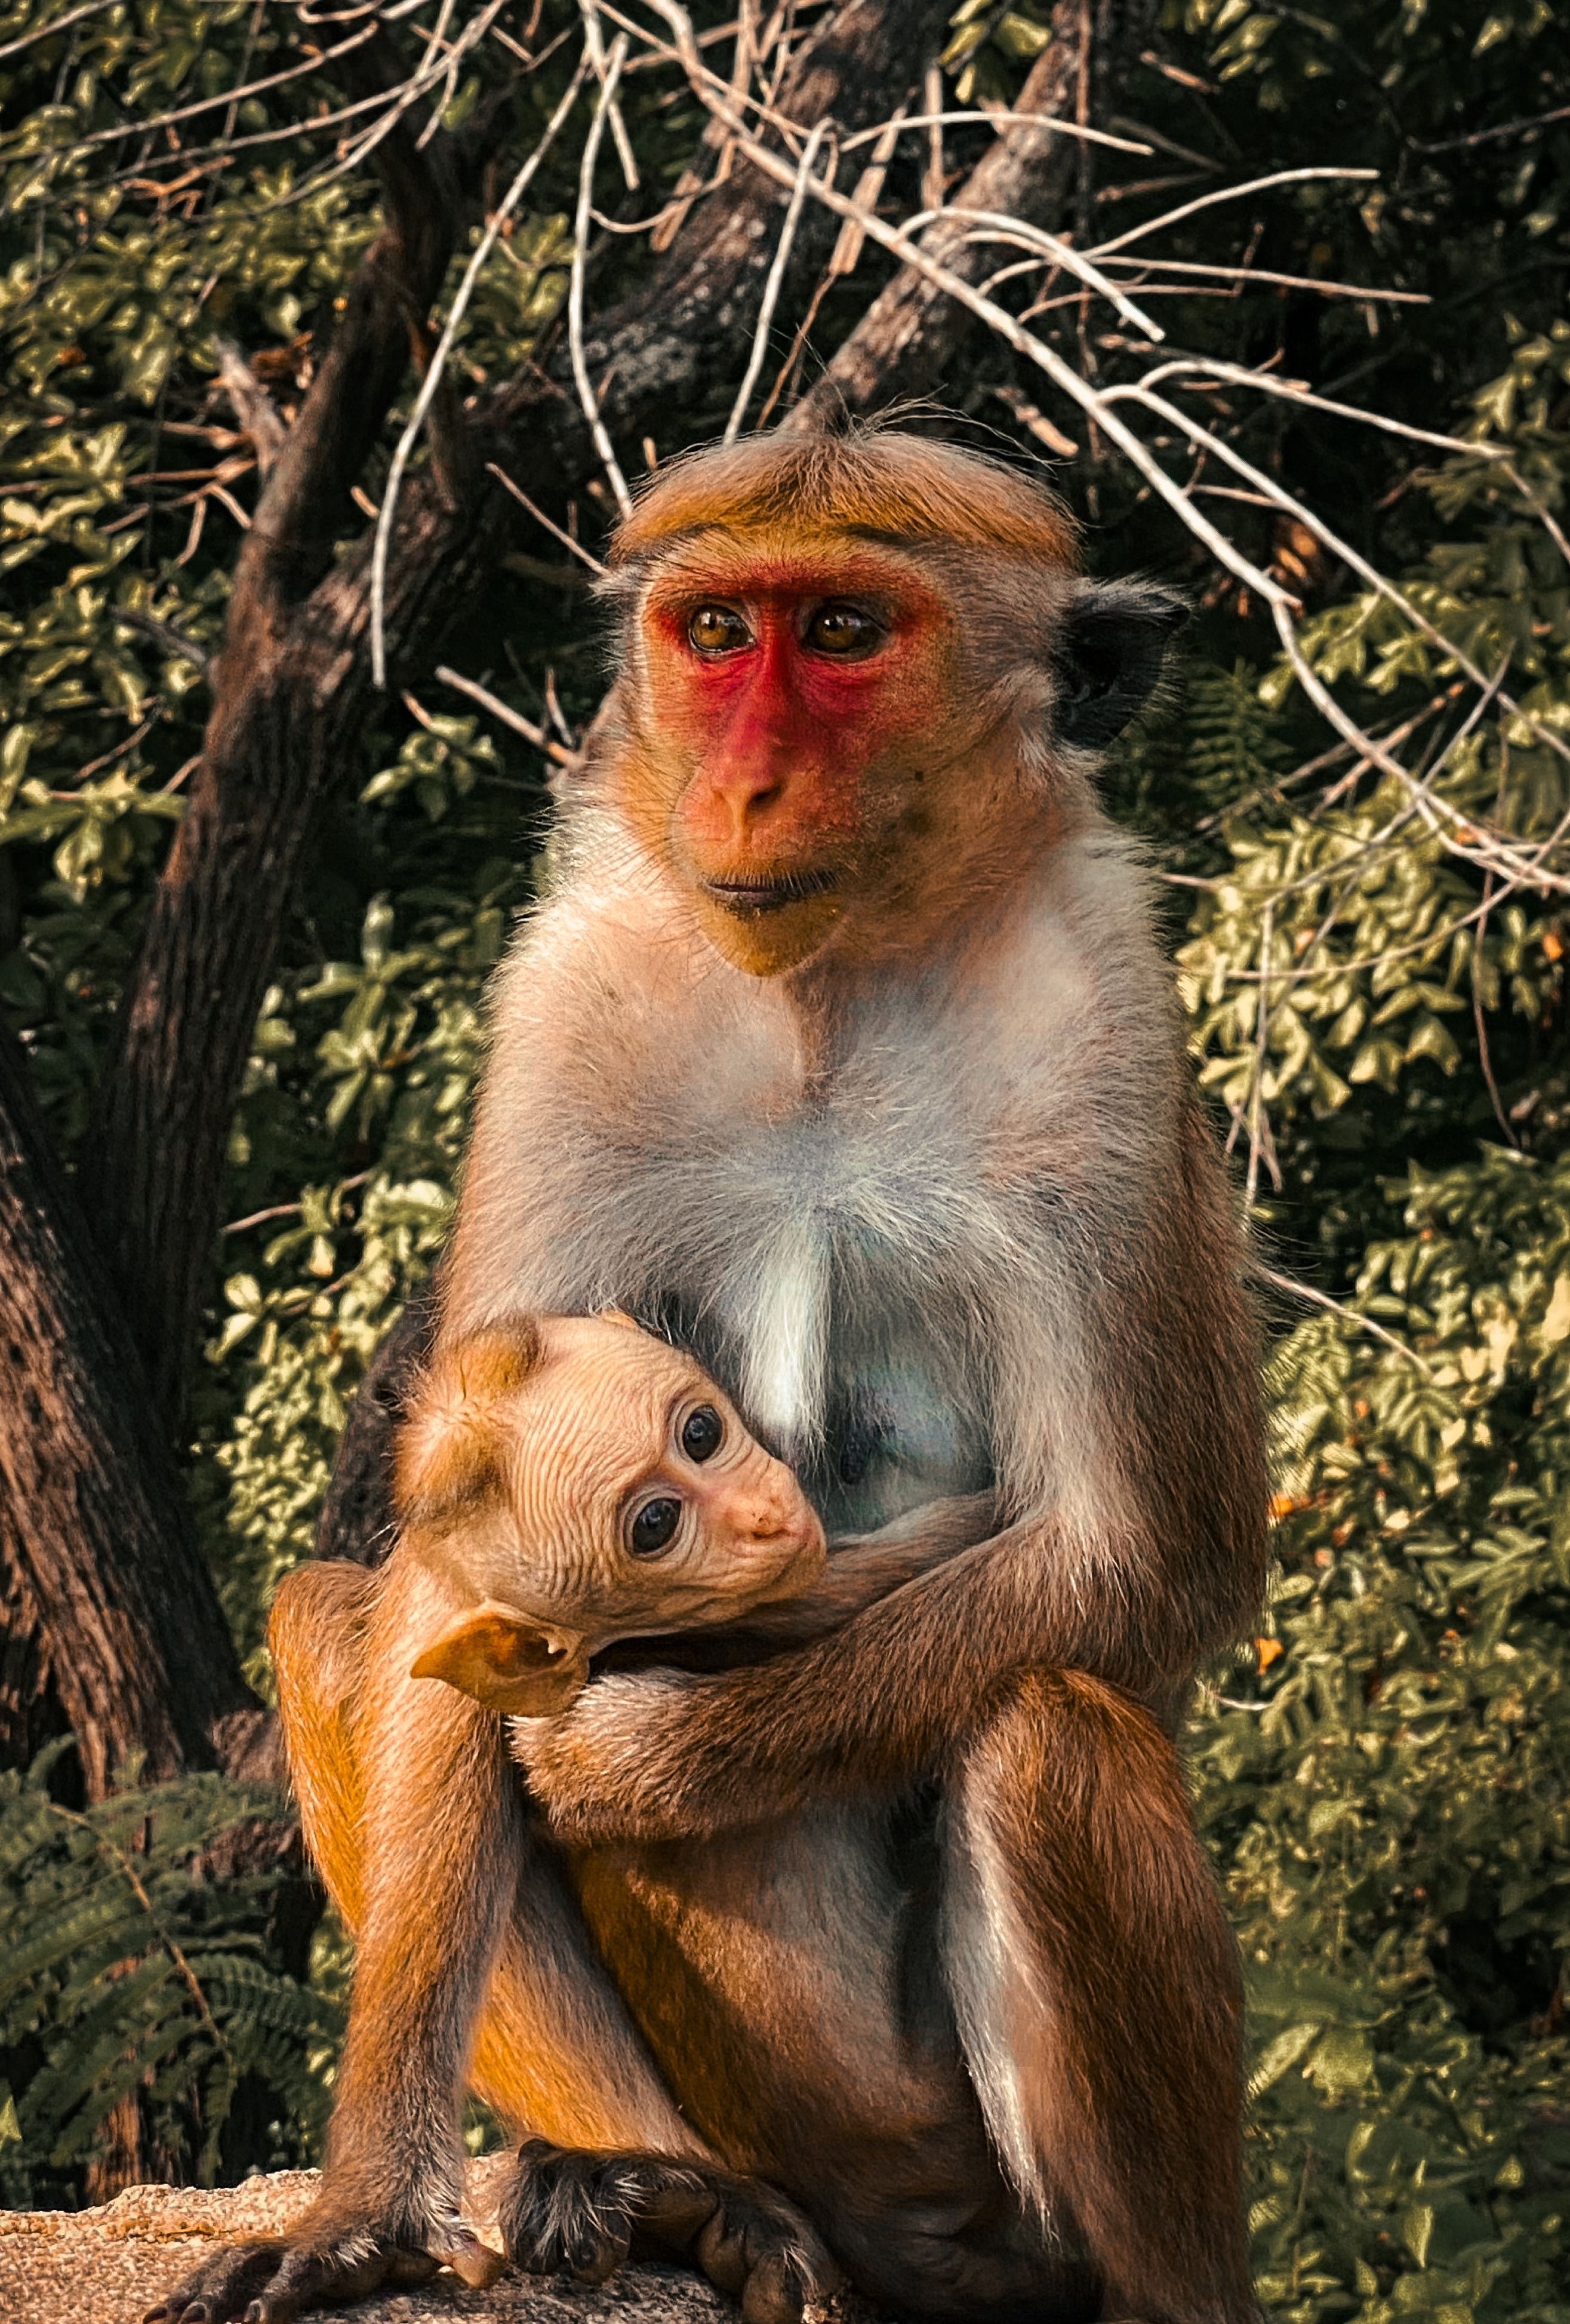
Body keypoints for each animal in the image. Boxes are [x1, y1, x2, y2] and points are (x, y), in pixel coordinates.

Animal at [150, 426, 1267, 2324]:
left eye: (841, 630)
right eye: (717, 633)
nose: (740, 786)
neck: (826, 990)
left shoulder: (1102, 1029)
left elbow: (1132, 1556)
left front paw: (643, 1763)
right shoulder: (568, 993)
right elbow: (442, 1572)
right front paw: (363, 2209)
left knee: (1044, 1728)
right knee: (332, 1614)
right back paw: (682, 2199)